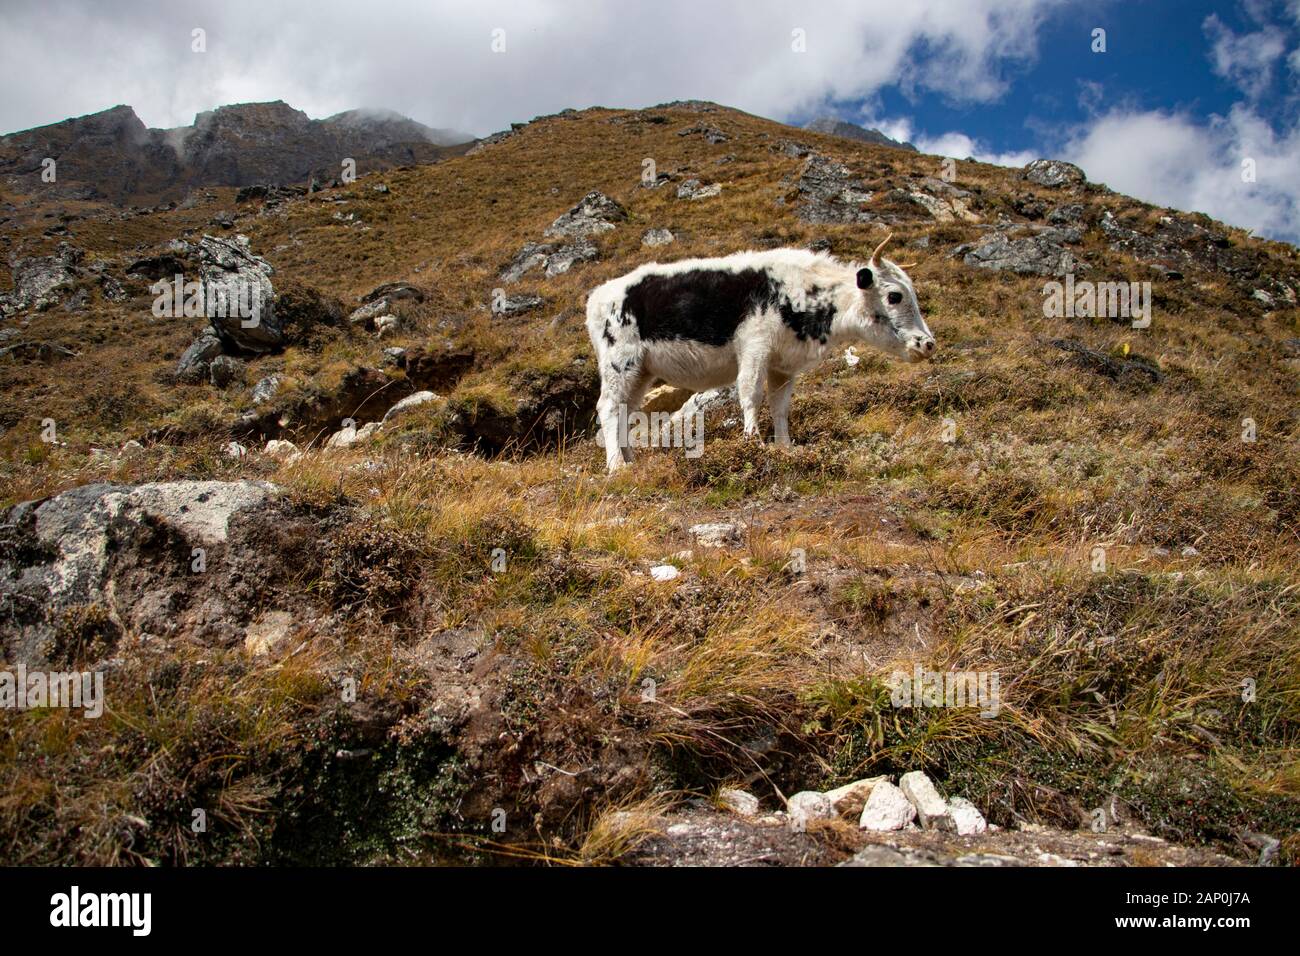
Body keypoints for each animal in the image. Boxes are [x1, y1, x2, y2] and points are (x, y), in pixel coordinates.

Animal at [584, 234, 935, 472]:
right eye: (894, 295)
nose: (927, 344)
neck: (799, 291)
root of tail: (598, 296)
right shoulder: (754, 348)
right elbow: (750, 393)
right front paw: (753, 441)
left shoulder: (783, 366)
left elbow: (780, 407)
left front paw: (785, 448)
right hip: (619, 362)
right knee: (609, 407)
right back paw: (616, 466)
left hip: (641, 371)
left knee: (626, 409)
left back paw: (631, 459)